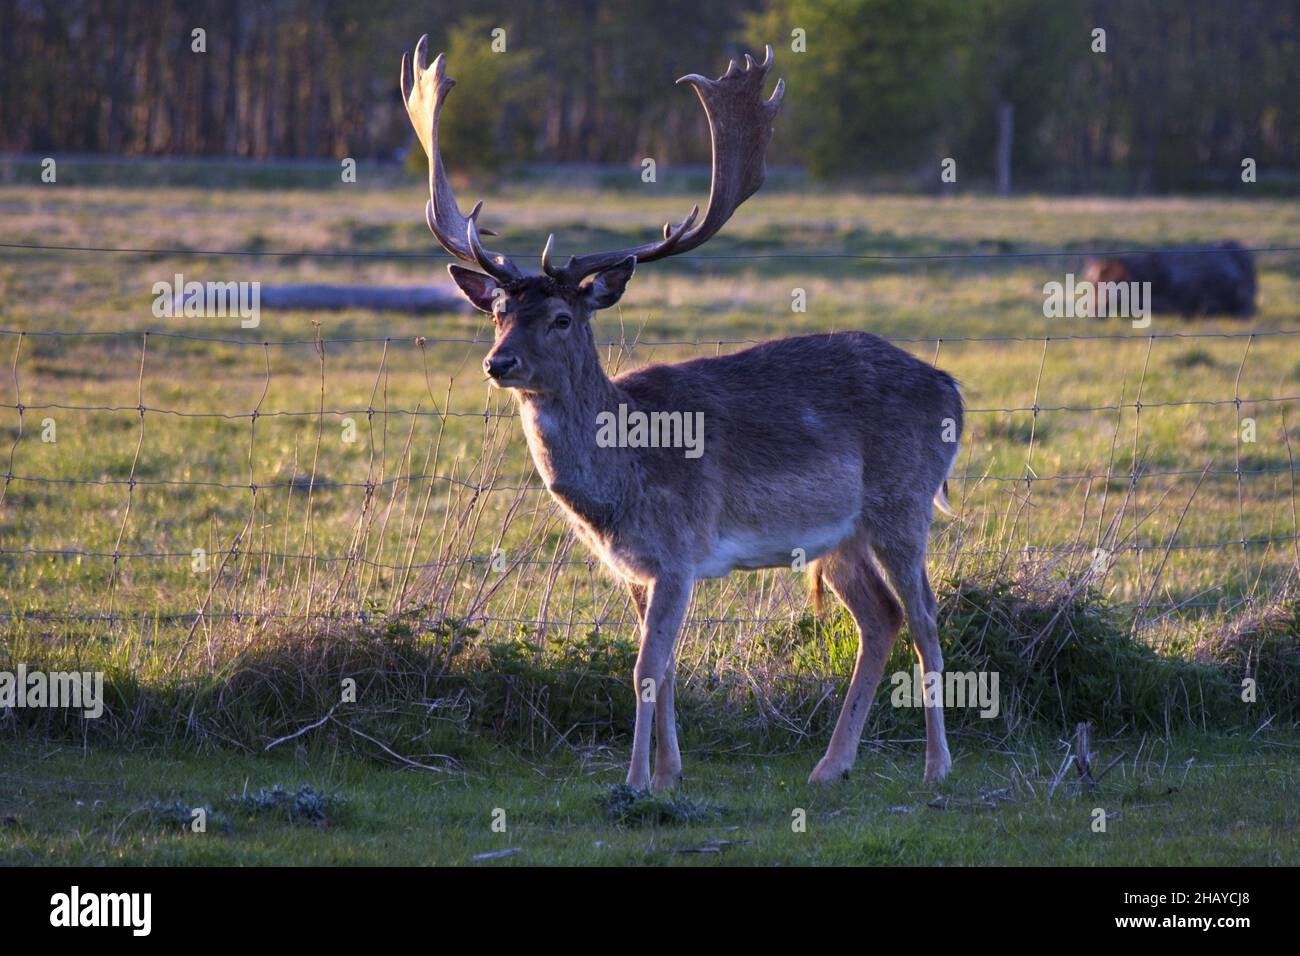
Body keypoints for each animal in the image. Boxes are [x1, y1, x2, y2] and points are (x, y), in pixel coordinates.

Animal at [400, 36, 963, 790]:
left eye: (560, 318)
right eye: (496, 313)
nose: (499, 364)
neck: (621, 483)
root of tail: (953, 389)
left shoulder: (678, 549)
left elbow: (645, 666)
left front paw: (635, 781)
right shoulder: (635, 568)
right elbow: (661, 666)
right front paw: (669, 774)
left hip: (904, 502)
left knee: (925, 615)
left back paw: (936, 766)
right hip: (840, 532)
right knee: (881, 618)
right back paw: (829, 766)